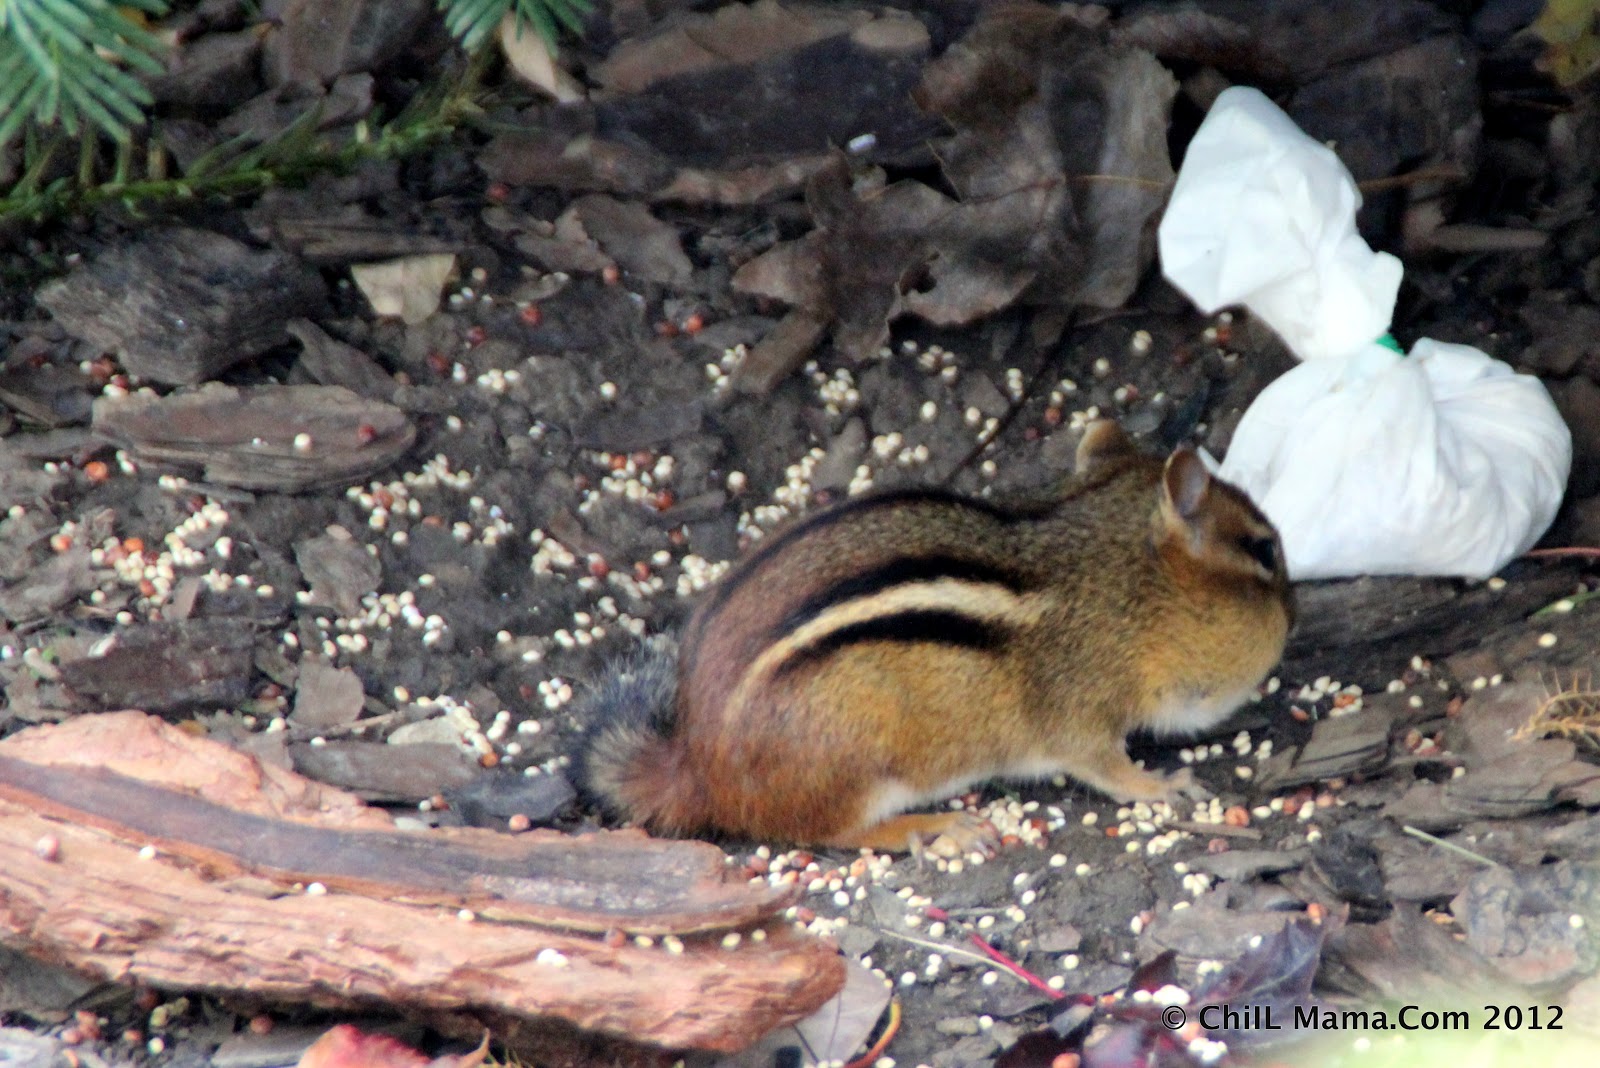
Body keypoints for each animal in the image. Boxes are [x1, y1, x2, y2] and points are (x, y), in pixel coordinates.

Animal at [574, 420, 1294, 853]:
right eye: (1264, 551)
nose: (1295, 609)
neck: (1116, 579)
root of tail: (699, 768)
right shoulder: (1083, 715)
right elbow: (1110, 770)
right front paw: (1164, 785)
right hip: (857, 754)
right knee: (836, 832)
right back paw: (941, 825)